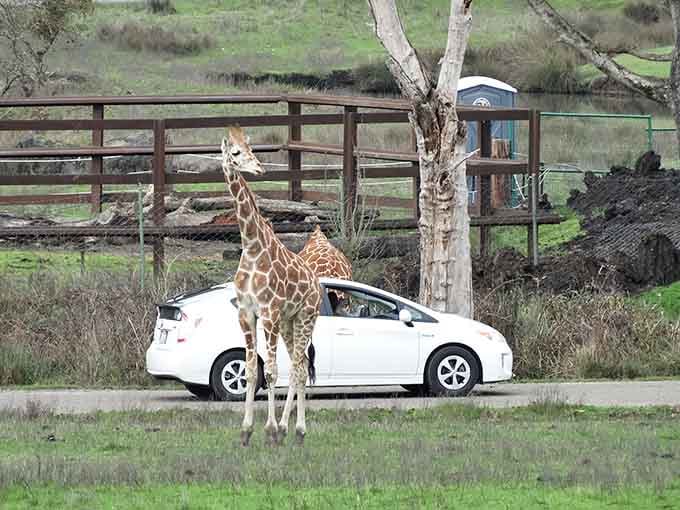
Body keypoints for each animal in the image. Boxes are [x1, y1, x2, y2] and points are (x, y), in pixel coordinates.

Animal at [221, 126, 322, 446]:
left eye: (251, 149)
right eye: (235, 152)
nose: (259, 168)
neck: (252, 247)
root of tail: (317, 285)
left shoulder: (270, 312)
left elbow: (272, 373)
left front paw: (270, 430)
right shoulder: (246, 313)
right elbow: (252, 372)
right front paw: (246, 431)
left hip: (305, 317)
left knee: (300, 368)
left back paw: (297, 430)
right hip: (290, 323)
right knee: (300, 364)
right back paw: (290, 429)